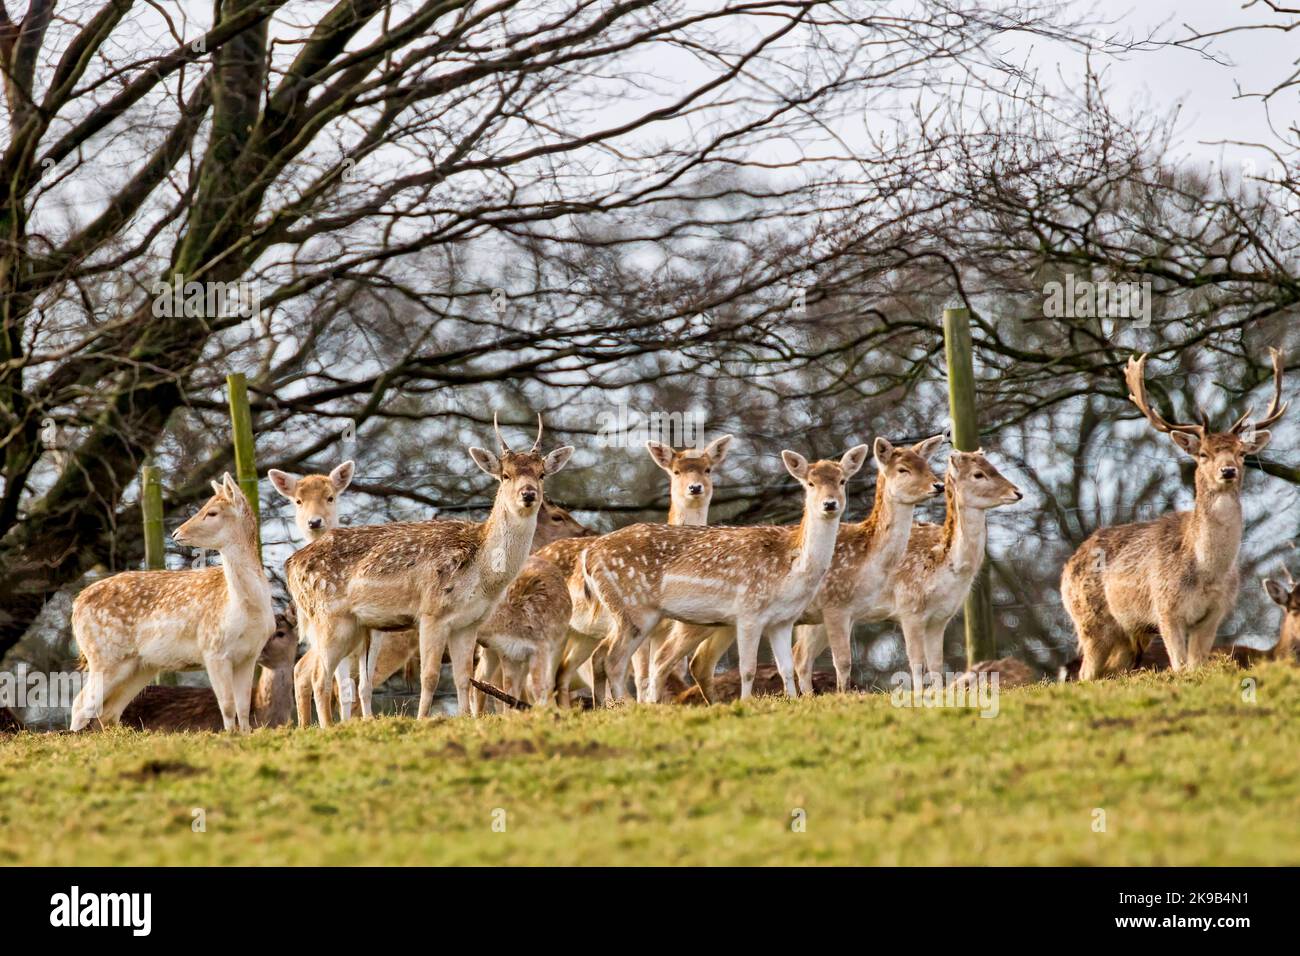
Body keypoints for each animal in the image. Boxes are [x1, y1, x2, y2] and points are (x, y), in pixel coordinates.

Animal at [69, 474, 276, 732]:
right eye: (205, 507)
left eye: (212, 512)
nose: (177, 533)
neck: (245, 609)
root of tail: (76, 605)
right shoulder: (212, 648)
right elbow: (227, 706)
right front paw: (231, 735)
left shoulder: (249, 654)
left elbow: (243, 707)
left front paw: (246, 735)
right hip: (104, 657)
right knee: (80, 704)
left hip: (139, 665)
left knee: (107, 710)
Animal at [284, 415, 573, 722]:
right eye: (505, 475)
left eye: (541, 474)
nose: (528, 494)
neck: (482, 574)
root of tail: (290, 565)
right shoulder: (432, 612)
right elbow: (430, 676)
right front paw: (424, 719)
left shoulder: (468, 623)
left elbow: (464, 678)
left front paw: (465, 719)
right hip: (328, 619)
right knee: (317, 676)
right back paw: (327, 726)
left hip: (355, 627)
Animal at [582, 444, 869, 703]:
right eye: (810, 483)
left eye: (842, 480)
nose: (830, 504)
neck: (791, 571)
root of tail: (589, 555)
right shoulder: (748, 611)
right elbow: (748, 669)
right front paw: (746, 703)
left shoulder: (782, 620)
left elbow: (786, 668)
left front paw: (793, 701)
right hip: (634, 609)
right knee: (615, 659)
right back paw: (625, 706)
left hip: (628, 613)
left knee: (602, 655)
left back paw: (607, 706)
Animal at [657, 434, 944, 702]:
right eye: (903, 469)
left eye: (926, 465)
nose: (939, 485)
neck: (869, 563)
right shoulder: (834, 606)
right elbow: (841, 660)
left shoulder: (834, 615)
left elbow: (804, 661)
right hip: (695, 618)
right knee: (667, 657)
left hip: (723, 622)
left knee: (699, 662)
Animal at [1062, 348, 1287, 679]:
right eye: (1203, 453)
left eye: (1242, 453)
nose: (1228, 470)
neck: (1206, 571)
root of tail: (1068, 565)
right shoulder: (1166, 609)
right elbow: (1180, 667)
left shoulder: (1215, 612)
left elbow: (1196, 665)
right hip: (1090, 622)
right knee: (1084, 674)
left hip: (1127, 635)